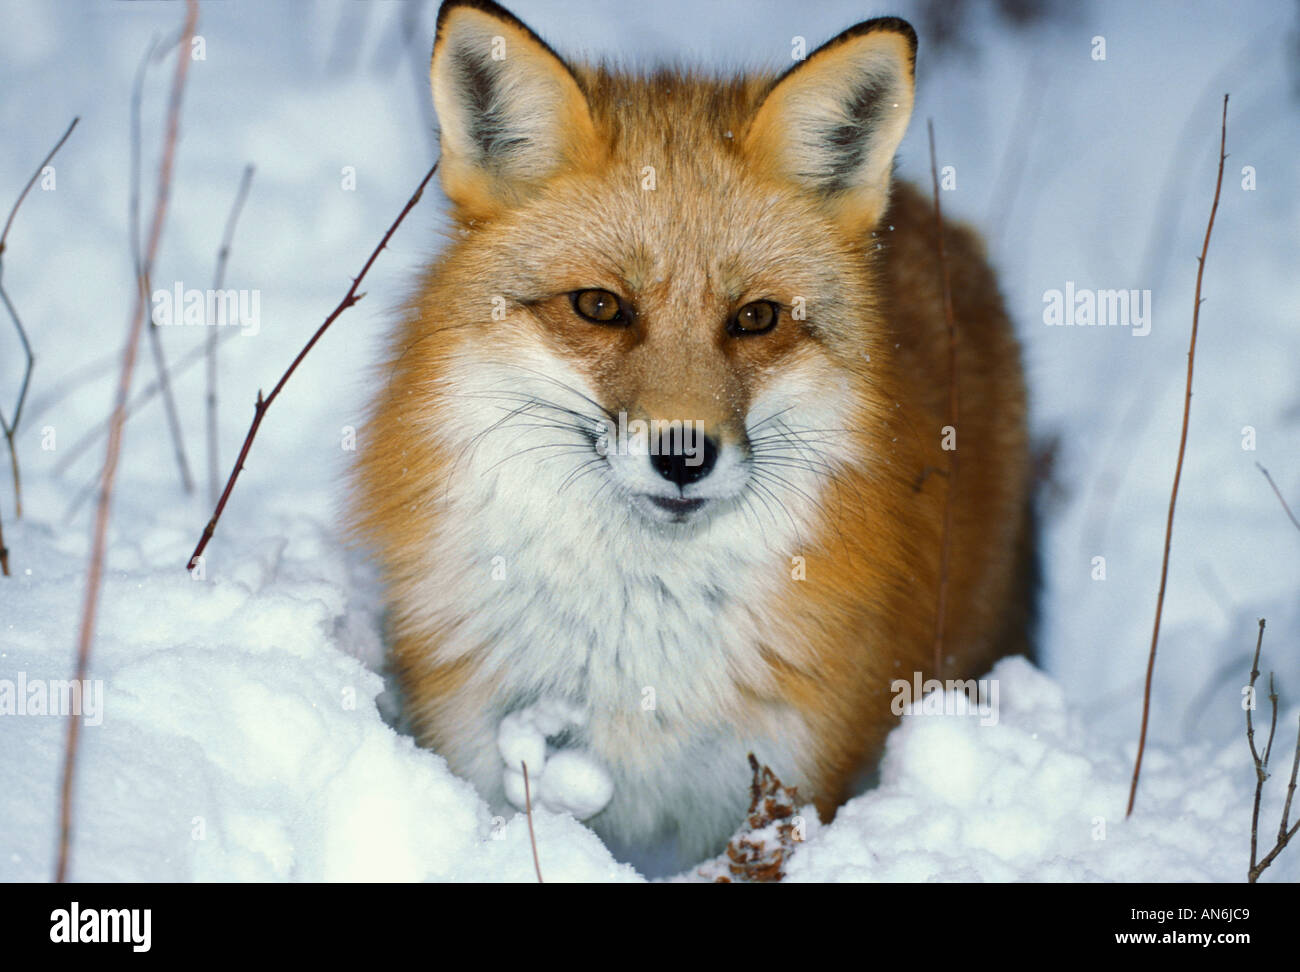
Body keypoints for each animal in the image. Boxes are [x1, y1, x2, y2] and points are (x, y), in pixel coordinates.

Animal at [353, 0, 1035, 873]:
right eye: (600, 307)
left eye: (756, 318)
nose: (684, 454)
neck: (639, 635)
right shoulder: (483, 743)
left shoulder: (786, 777)